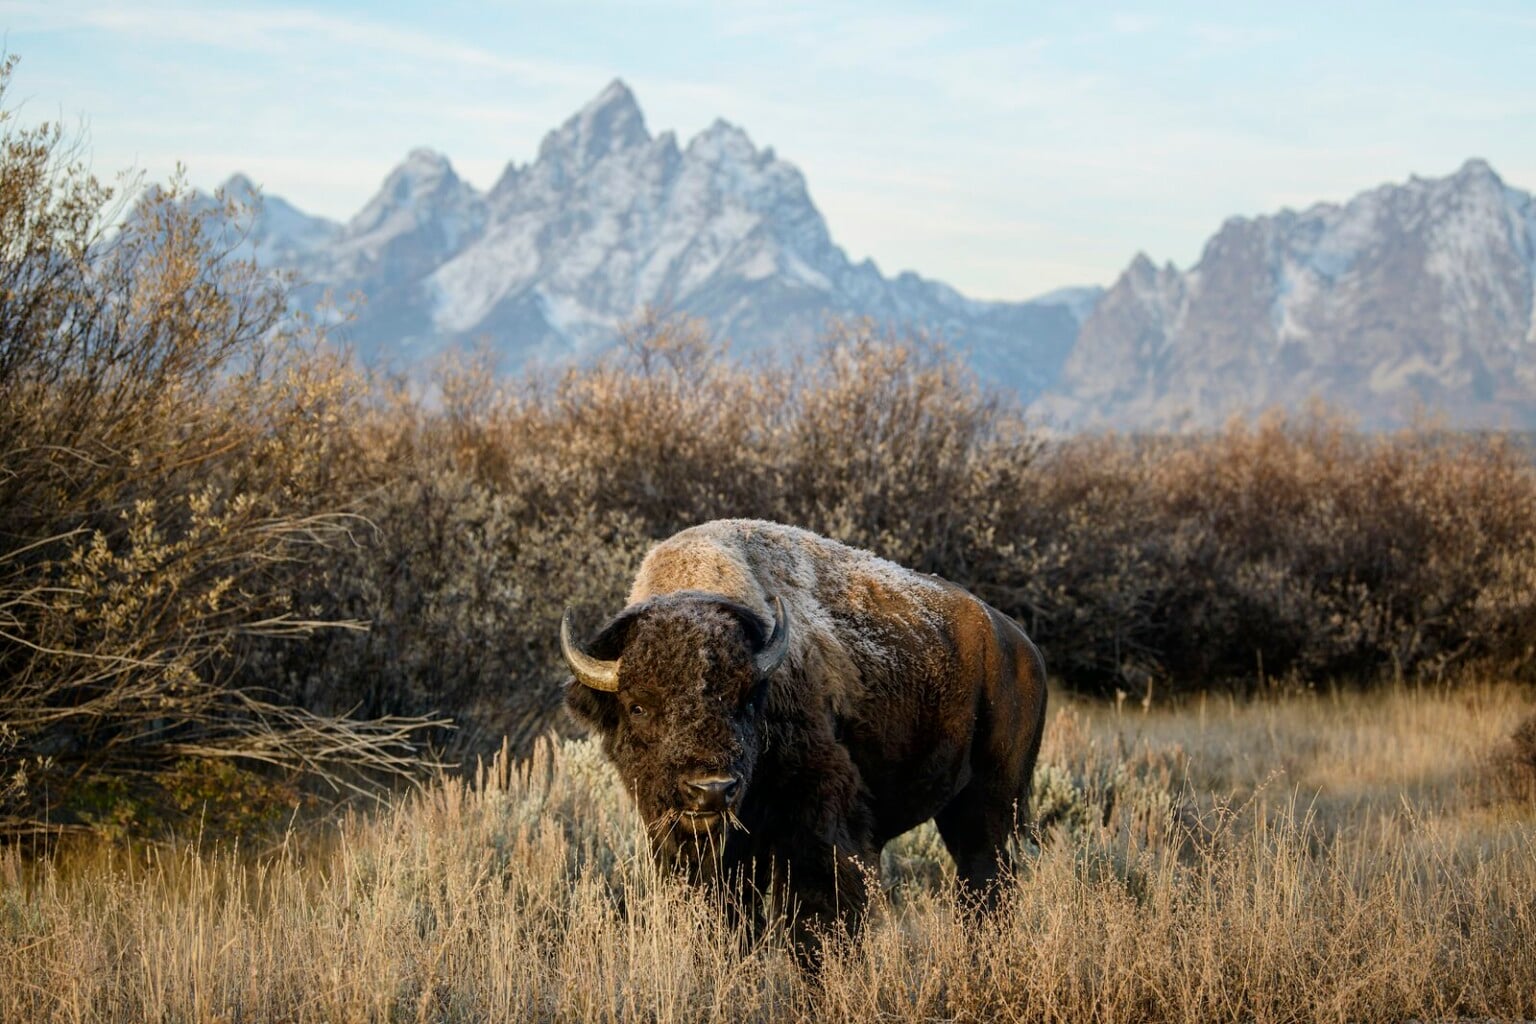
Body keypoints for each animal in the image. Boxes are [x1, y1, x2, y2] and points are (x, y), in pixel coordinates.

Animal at [561, 519, 1047, 947]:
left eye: (747, 700)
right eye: (638, 706)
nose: (711, 789)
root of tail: (1021, 645)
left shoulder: (816, 815)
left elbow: (817, 908)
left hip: (994, 800)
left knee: (985, 875)